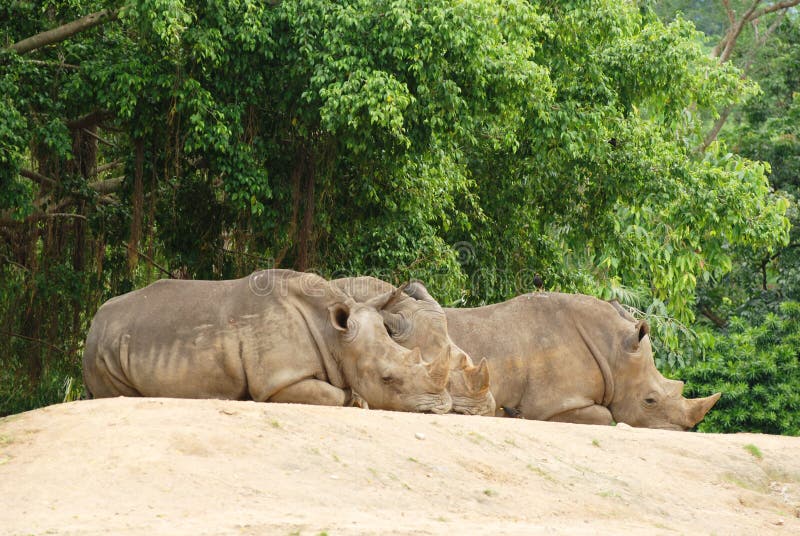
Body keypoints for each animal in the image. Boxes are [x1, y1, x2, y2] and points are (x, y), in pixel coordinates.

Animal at [82, 269, 452, 413]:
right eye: (387, 378)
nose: (442, 407)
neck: (335, 335)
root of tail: (94, 321)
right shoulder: (279, 380)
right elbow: (333, 395)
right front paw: (353, 400)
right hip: (101, 347)